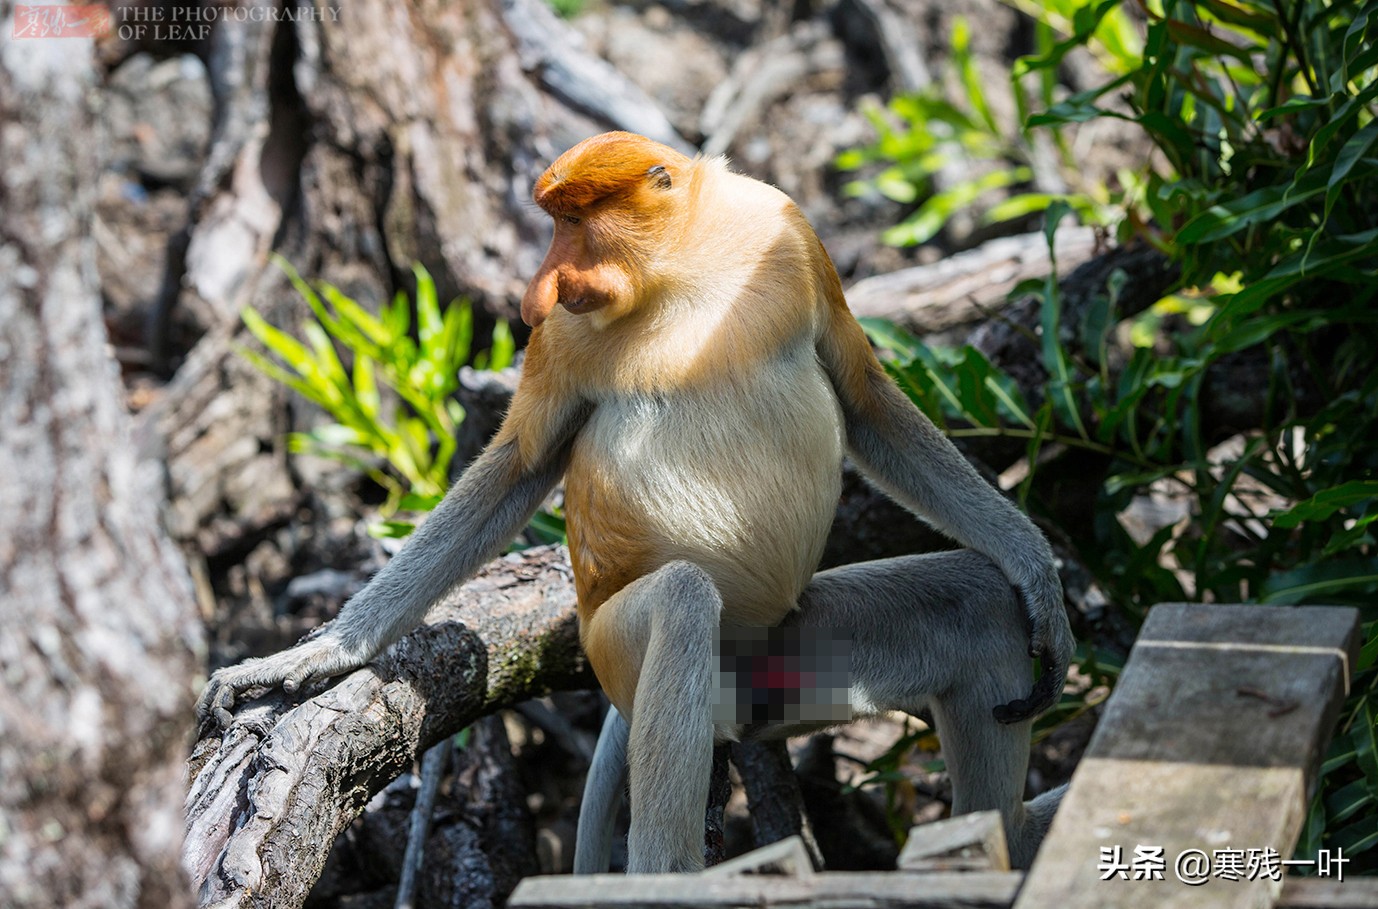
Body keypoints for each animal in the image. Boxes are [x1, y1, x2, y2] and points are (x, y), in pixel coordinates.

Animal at [199, 131, 1074, 875]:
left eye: (572, 221)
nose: (536, 291)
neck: (682, 270)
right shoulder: (559, 337)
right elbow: (520, 462)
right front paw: (312, 656)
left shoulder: (788, 231)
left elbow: (863, 396)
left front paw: (1037, 571)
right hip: (617, 650)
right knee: (682, 606)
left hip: (803, 642)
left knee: (978, 607)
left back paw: (1009, 834)